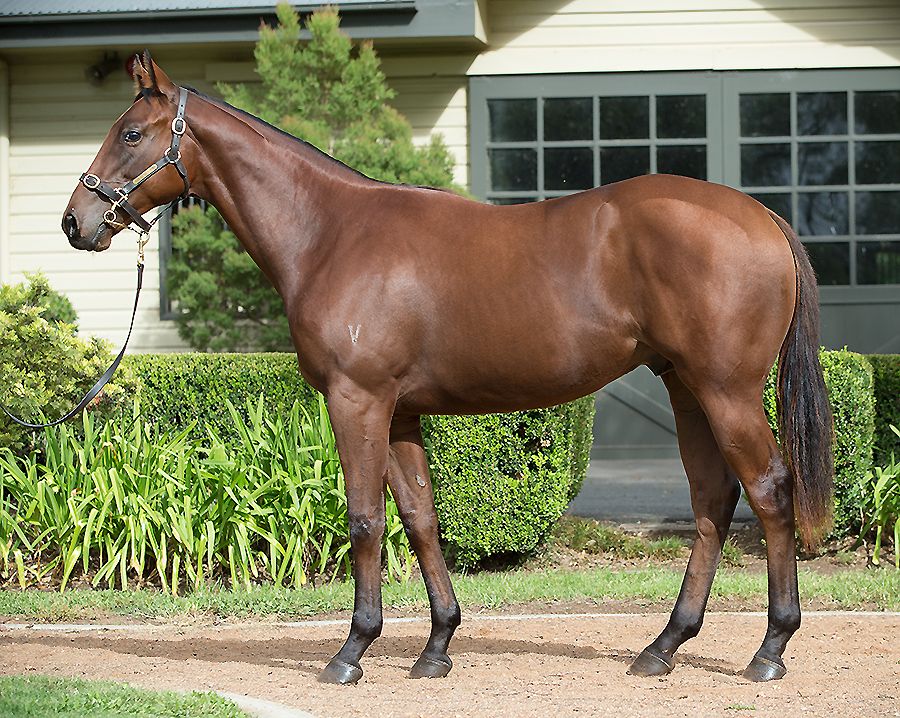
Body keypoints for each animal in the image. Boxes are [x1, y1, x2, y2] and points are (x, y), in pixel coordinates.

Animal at [62, 51, 833, 685]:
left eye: (132, 134)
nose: (76, 222)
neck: (330, 233)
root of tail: (761, 217)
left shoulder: (357, 400)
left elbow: (365, 519)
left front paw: (351, 652)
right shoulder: (400, 410)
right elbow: (420, 517)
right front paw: (436, 646)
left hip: (726, 391)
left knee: (769, 489)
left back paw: (769, 649)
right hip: (684, 386)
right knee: (712, 500)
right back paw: (664, 646)